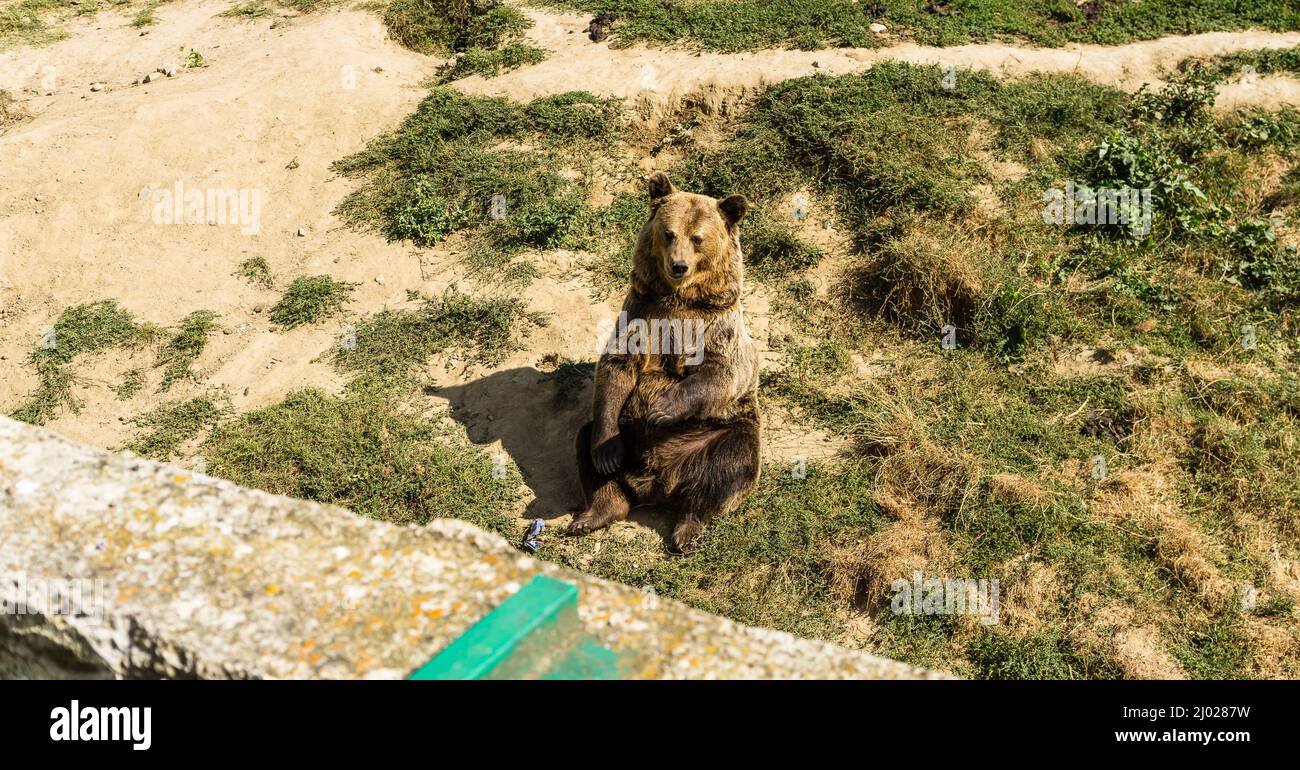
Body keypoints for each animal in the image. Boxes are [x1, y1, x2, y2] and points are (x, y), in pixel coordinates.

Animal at [568, 171, 762, 552]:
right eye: (669, 233)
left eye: (698, 238)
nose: (679, 265)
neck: (680, 299)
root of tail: (658, 483)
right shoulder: (641, 310)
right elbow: (616, 366)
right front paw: (606, 455)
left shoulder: (717, 327)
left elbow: (720, 372)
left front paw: (662, 409)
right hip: (631, 436)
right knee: (588, 442)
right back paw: (593, 513)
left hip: (719, 430)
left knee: (730, 465)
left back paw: (687, 530)